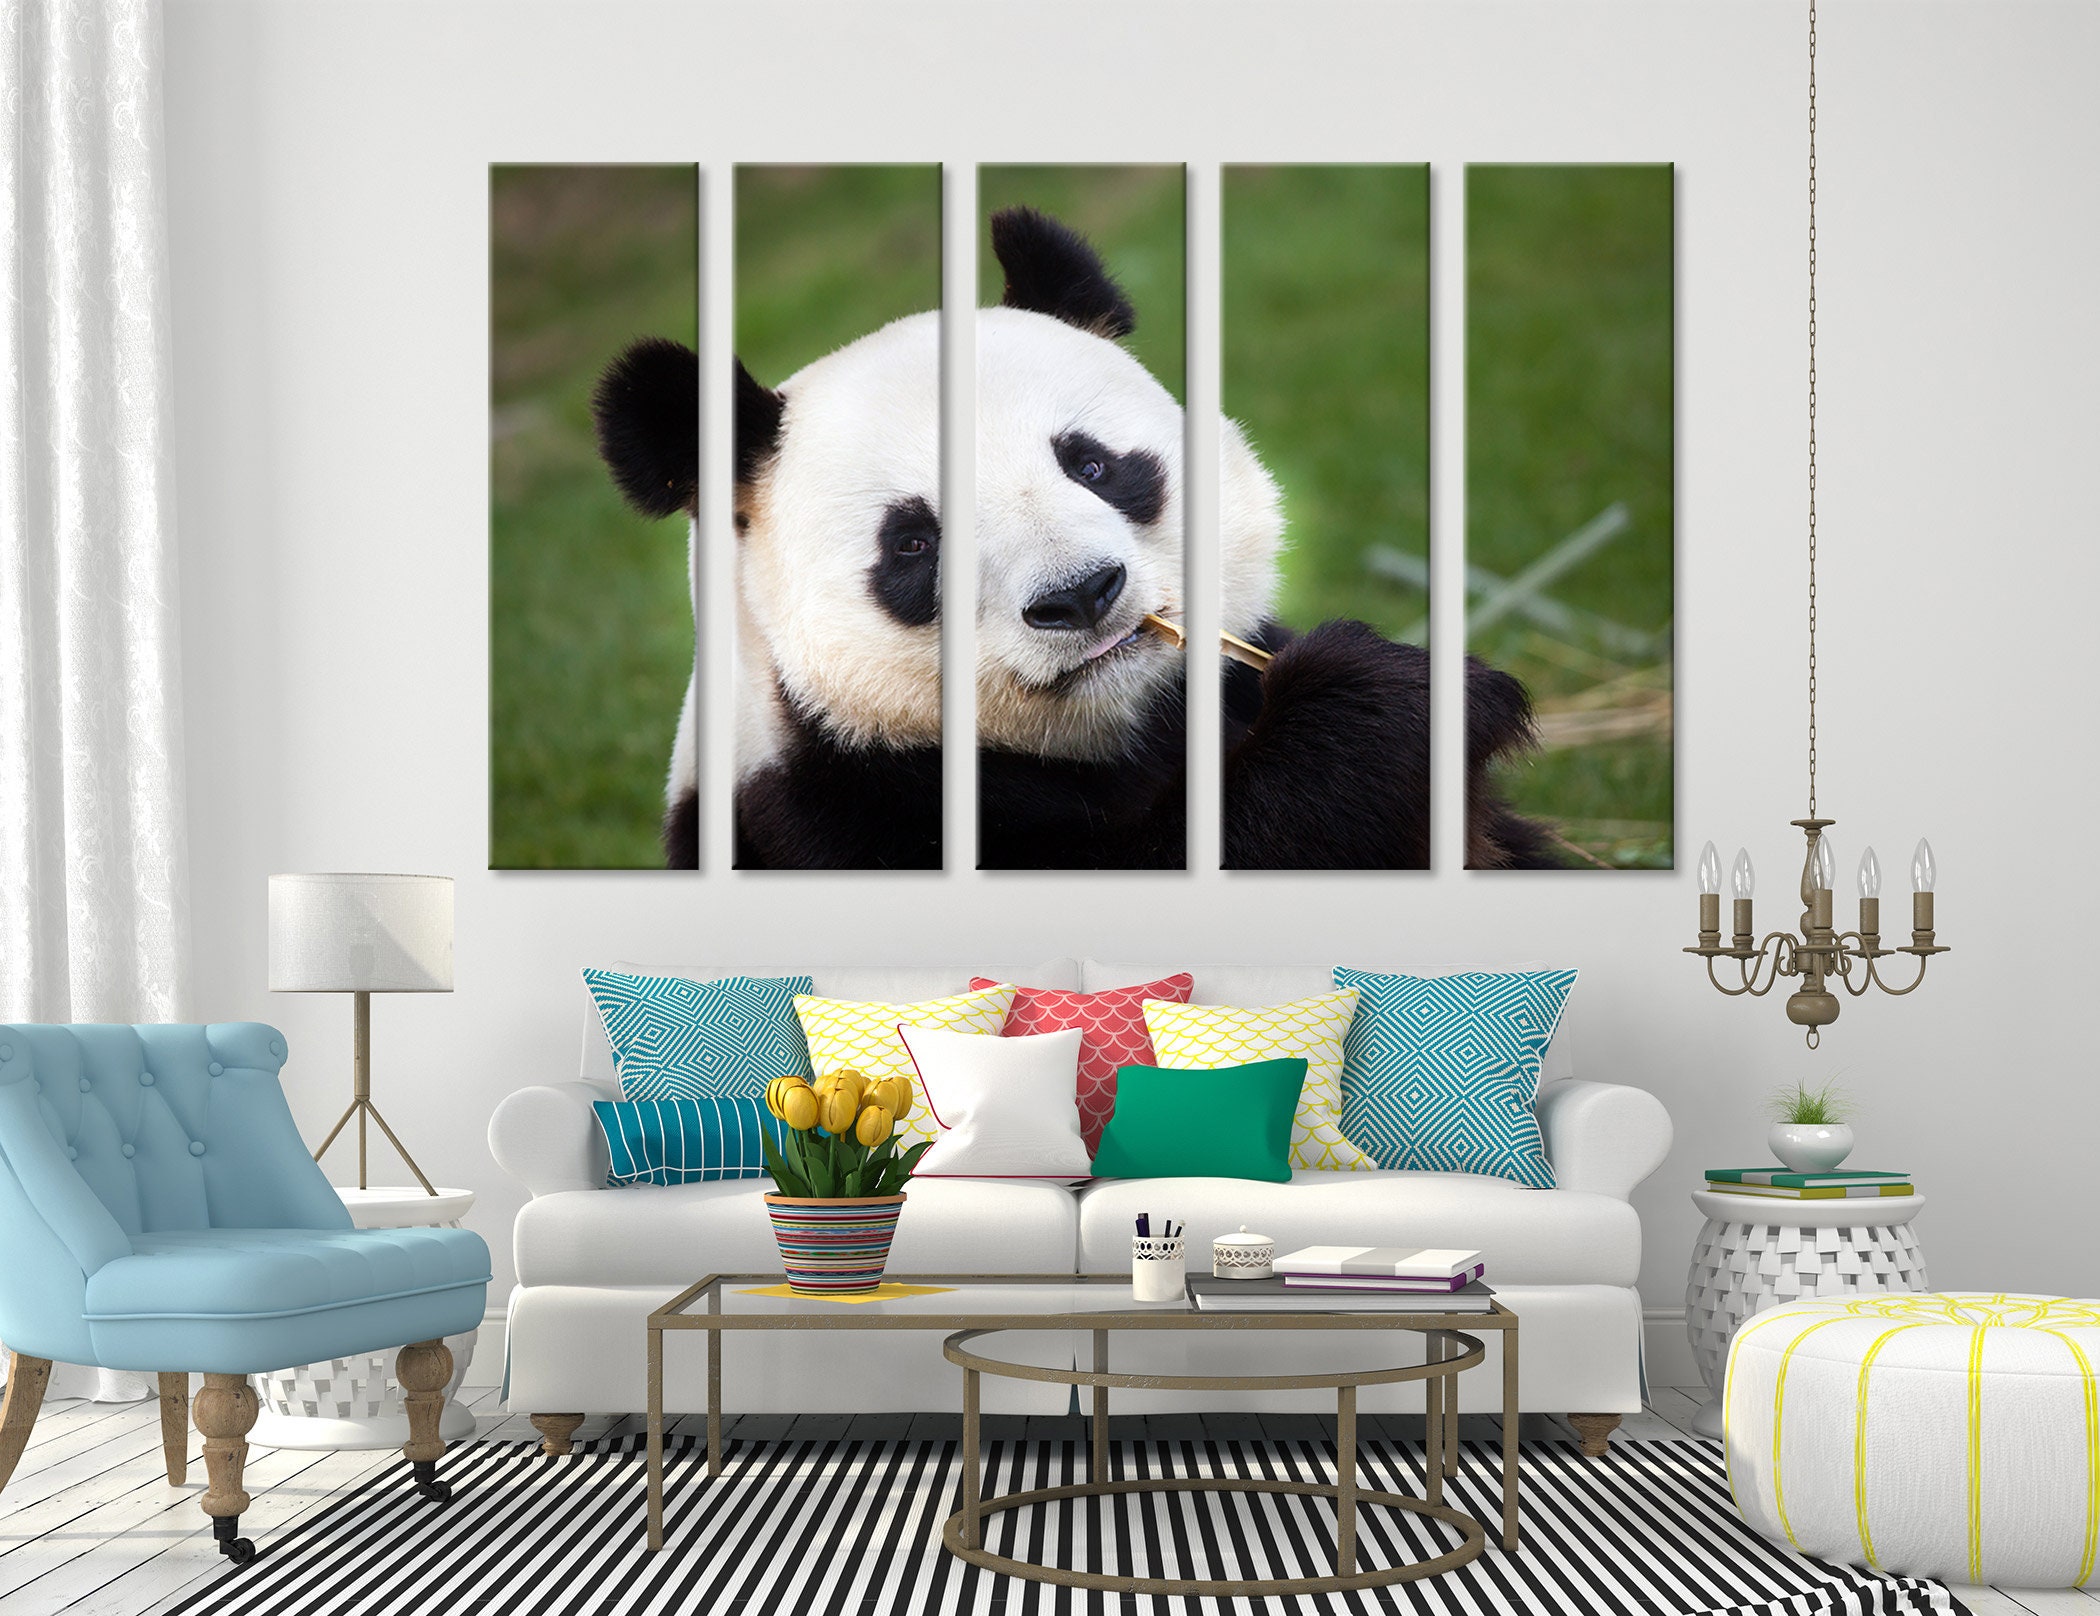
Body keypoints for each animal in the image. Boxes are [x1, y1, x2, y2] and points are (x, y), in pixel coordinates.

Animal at [590, 207, 1556, 871]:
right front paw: (1386, 702)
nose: (1082, 594)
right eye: (914, 545)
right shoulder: (827, 815)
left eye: (1091, 465)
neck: (1113, 739)